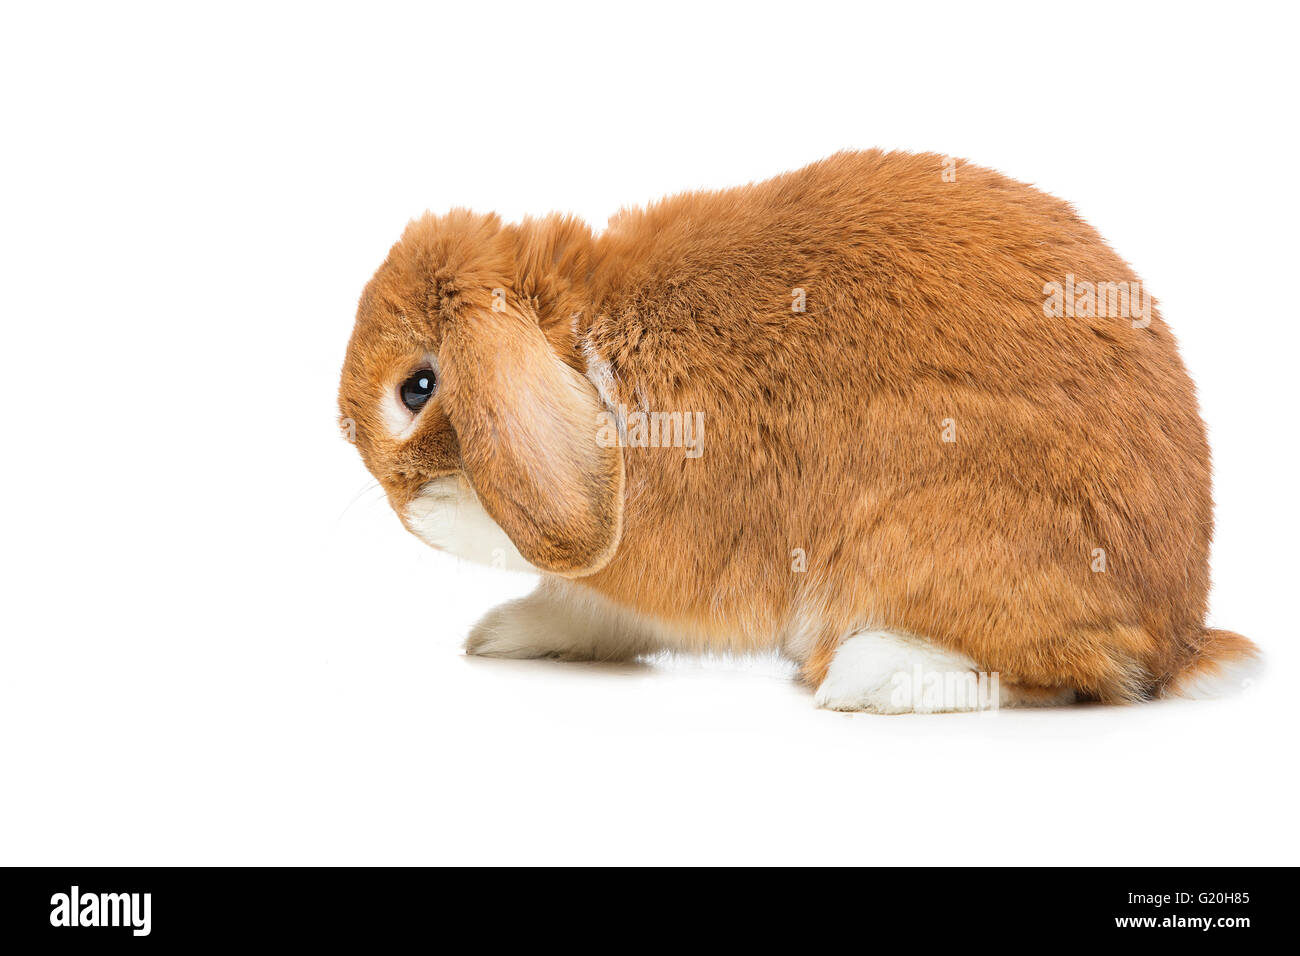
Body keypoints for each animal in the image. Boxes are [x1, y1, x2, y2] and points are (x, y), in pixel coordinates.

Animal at [337, 149, 1259, 713]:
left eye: (418, 387)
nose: (359, 451)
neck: (582, 341)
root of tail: (1180, 634)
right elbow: (582, 606)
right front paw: (503, 632)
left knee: (1068, 677)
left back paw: (870, 674)